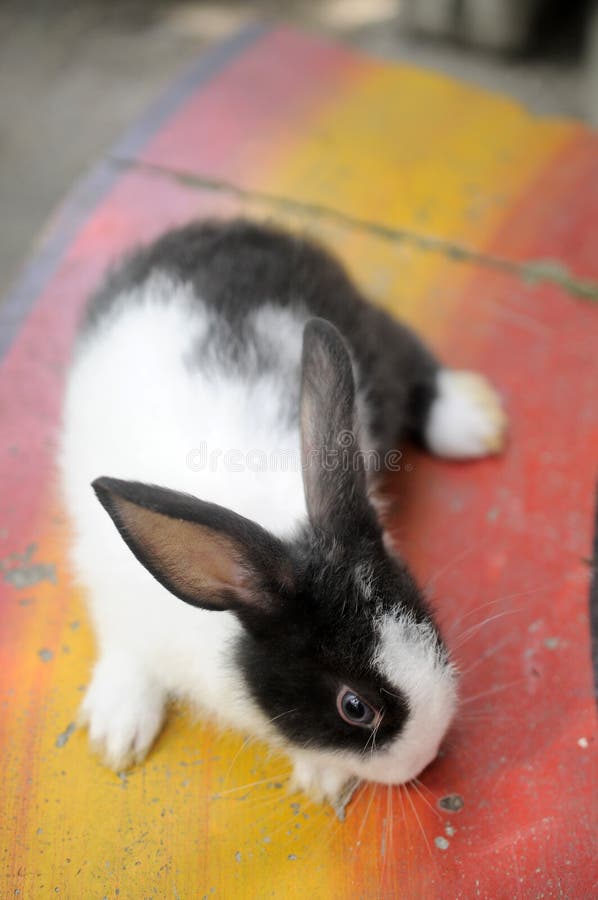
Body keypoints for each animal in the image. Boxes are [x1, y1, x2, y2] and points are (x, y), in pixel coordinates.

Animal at [59, 219, 507, 808]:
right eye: (354, 707)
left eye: (430, 622)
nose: (429, 753)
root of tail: (236, 227)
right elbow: (127, 650)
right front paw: (116, 733)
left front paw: (324, 777)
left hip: (363, 330)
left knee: (407, 354)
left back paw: (478, 420)